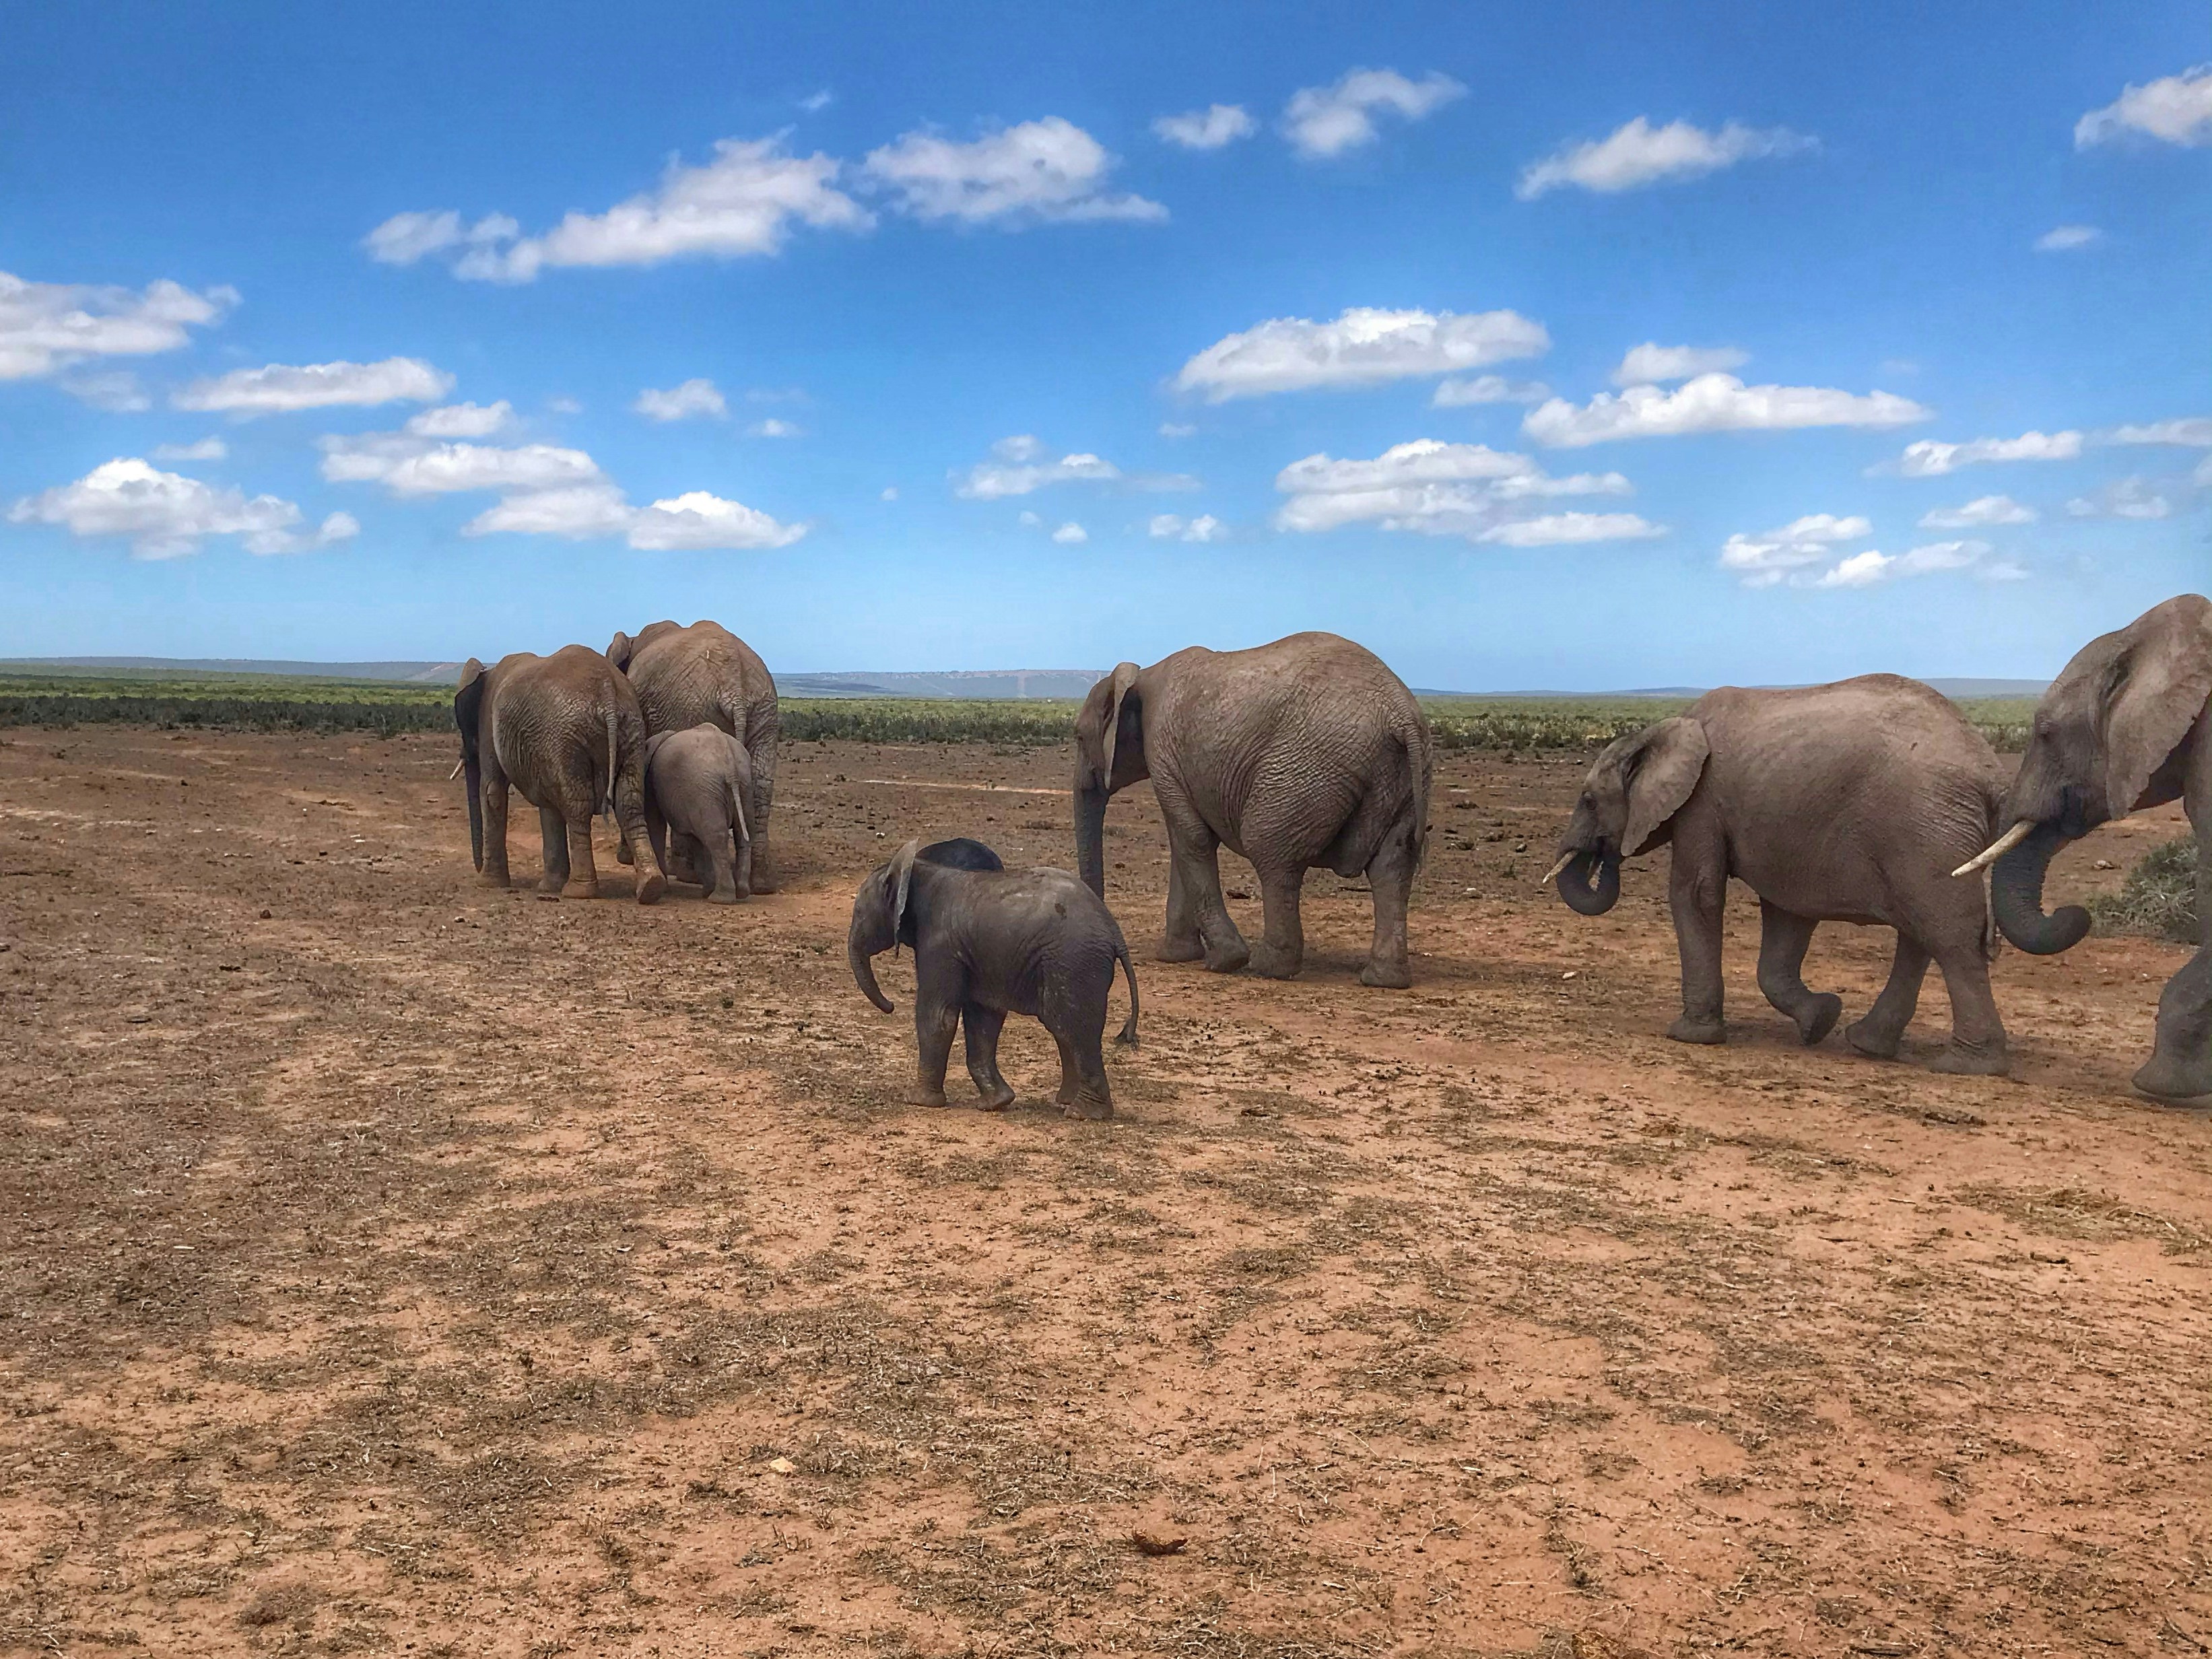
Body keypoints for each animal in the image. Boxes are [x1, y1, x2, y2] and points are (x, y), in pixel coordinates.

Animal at [454, 646, 666, 903]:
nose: (478, 869)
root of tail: (608, 692)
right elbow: (549, 806)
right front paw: (549, 887)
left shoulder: (488, 725)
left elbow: (492, 792)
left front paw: (489, 884)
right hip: (631, 731)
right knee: (630, 803)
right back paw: (651, 886)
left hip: (568, 739)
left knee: (578, 806)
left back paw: (578, 892)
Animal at [643, 724, 755, 903]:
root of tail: (729, 762)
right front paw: (707, 889)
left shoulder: (651, 782)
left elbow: (655, 823)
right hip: (743, 785)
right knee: (744, 834)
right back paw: (741, 892)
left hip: (706, 788)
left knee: (716, 839)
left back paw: (720, 898)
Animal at [849, 837, 1140, 1119]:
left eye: (859, 913)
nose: (890, 1006)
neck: (917, 871)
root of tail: (1114, 930)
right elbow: (983, 1018)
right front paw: (997, 1103)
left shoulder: (940, 946)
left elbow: (938, 1015)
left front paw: (918, 1101)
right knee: (1062, 1026)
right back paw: (1067, 1102)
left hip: (1073, 960)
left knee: (1074, 1025)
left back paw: (1084, 1113)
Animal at [1073, 632, 1432, 988]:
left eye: (1077, 737)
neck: (1142, 675)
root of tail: (1401, 713)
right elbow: (1185, 843)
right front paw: (1177, 956)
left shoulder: (1163, 751)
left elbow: (1192, 839)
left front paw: (1225, 961)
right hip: (1402, 776)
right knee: (1392, 867)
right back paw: (1383, 979)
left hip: (1306, 770)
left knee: (1272, 856)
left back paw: (1267, 967)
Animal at [1546, 674, 2007, 1073]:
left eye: (1588, 800)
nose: (1603, 853)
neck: (1660, 731)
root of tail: (1991, 772)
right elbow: (1787, 917)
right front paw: (1820, 1020)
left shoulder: (1702, 801)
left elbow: (1695, 893)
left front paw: (1690, 1036)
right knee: (1921, 934)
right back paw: (1867, 1043)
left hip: (1926, 831)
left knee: (1951, 937)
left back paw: (1968, 1065)